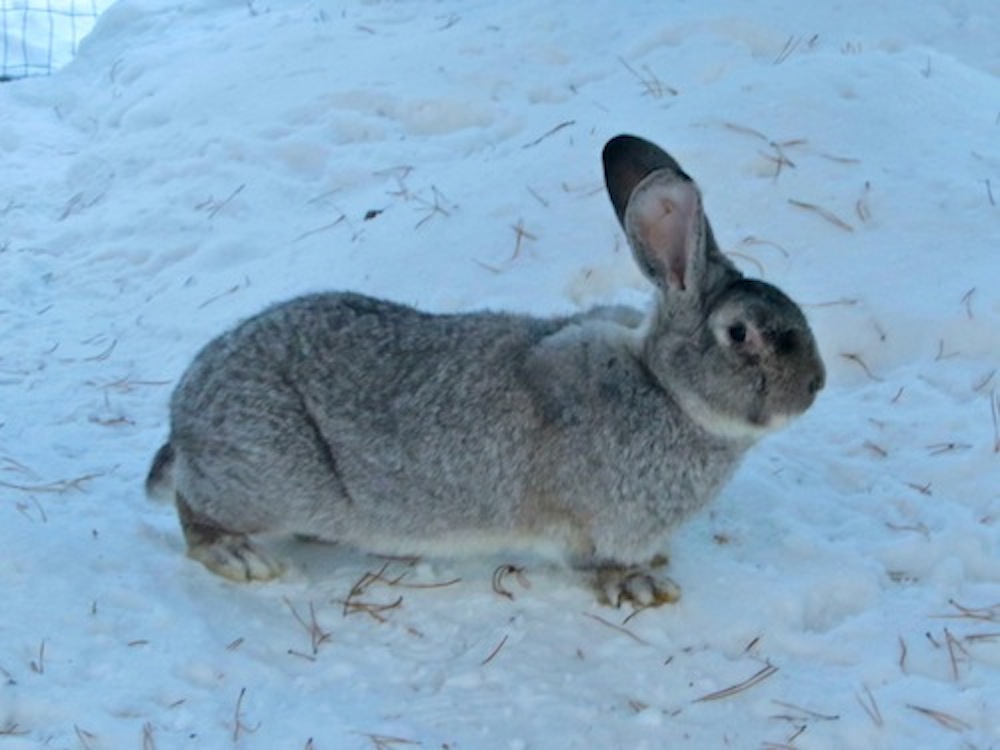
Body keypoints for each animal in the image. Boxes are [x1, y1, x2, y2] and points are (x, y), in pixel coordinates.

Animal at [146, 134, 825, 607]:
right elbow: (598, 563)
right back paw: (238, 556)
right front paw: (639, 587)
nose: (816, 386)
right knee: (194, 508)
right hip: (269, 479)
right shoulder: (597, 525)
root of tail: (184, 418)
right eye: (740, 333)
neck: (663, 387)